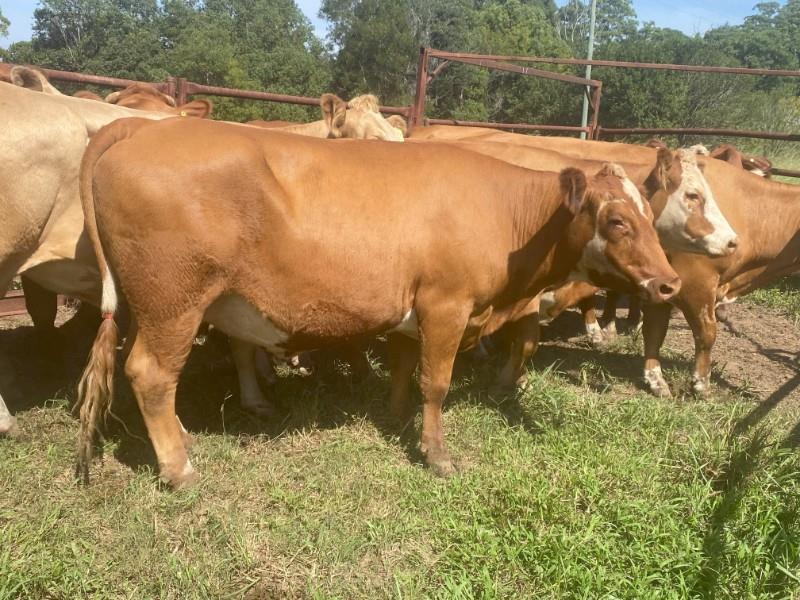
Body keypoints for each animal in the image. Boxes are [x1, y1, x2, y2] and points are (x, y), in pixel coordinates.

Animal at [75, 116, 679, 488]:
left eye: (651, 219)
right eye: (617, 221)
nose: (669, 283)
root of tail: (144, 126)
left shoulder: (413, 313)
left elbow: (404, 367)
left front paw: (394, 416)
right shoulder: (446, 305)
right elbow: (436, 382)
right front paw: (436, 454)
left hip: (171, 304)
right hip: (173, 304)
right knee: (152, 374)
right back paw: (178, 467)